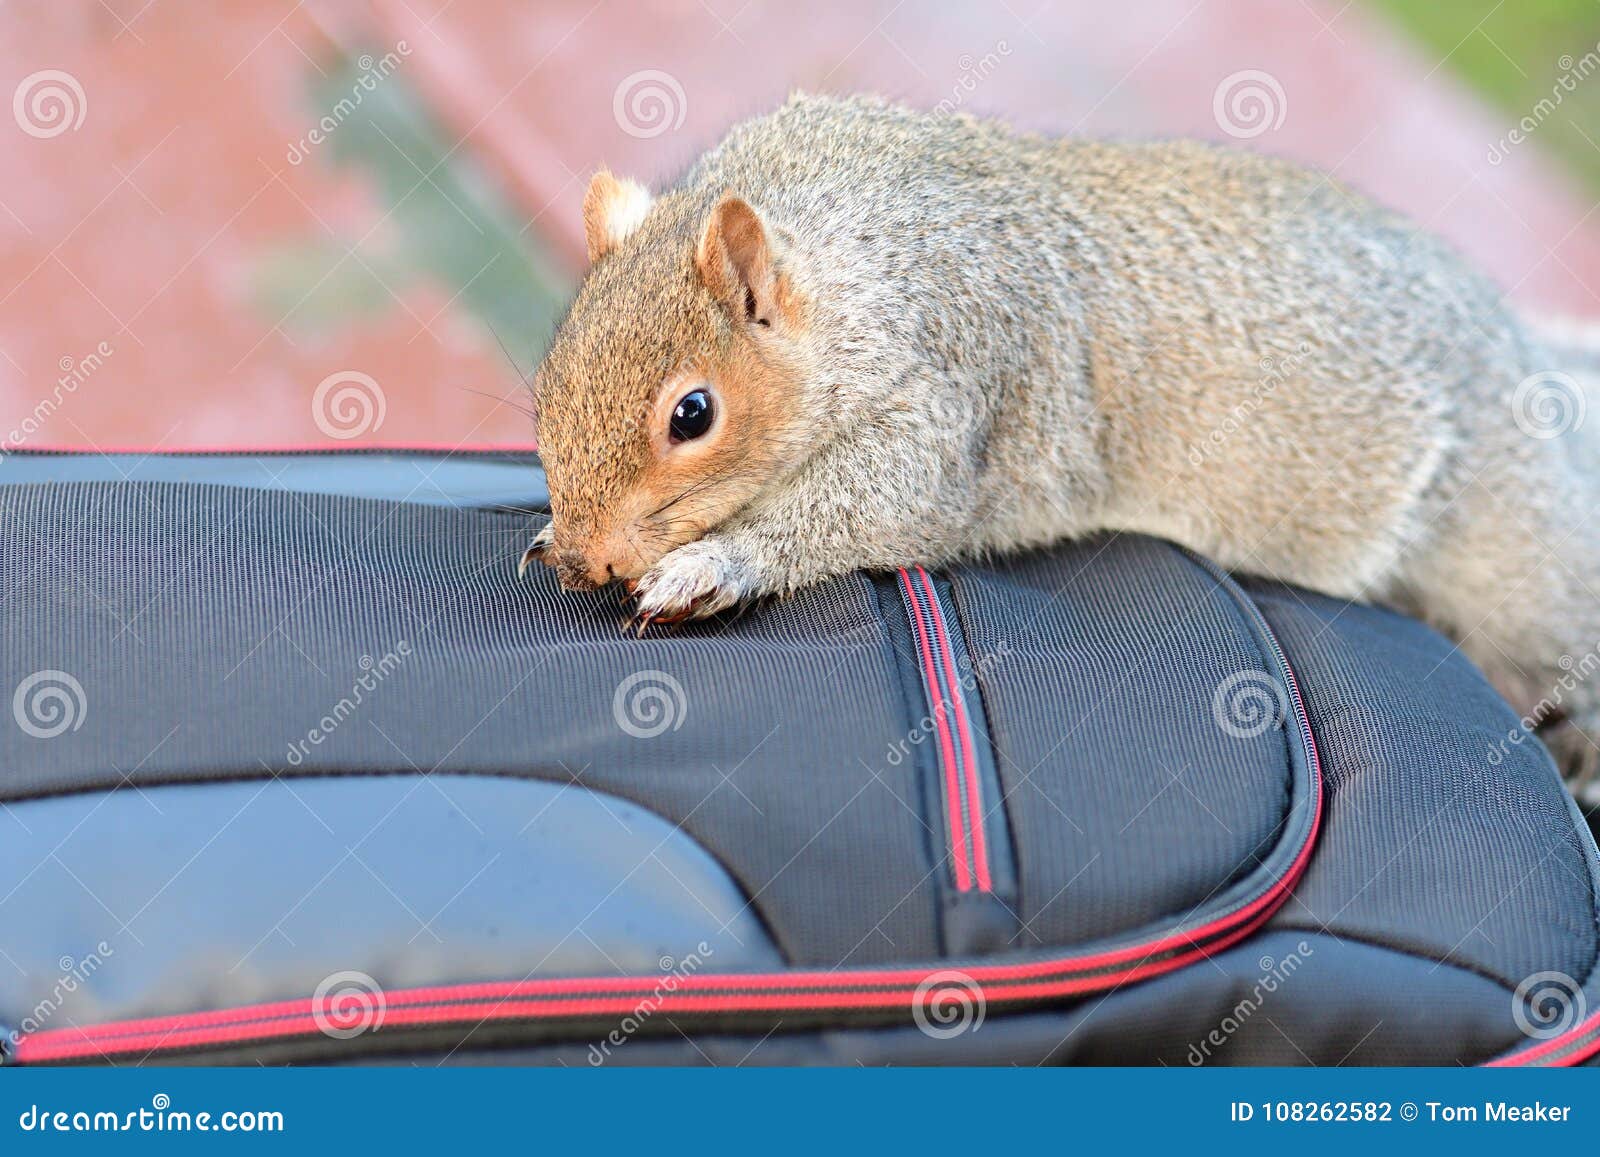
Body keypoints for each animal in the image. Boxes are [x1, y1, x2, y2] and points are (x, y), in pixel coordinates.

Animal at [525, 92, 1600, 783]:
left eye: (692, 414)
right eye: (546, 379)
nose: (581, 559)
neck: (844, 251)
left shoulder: (959, 385)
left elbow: (884, 506)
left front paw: (716, 563)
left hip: (1516, 552)